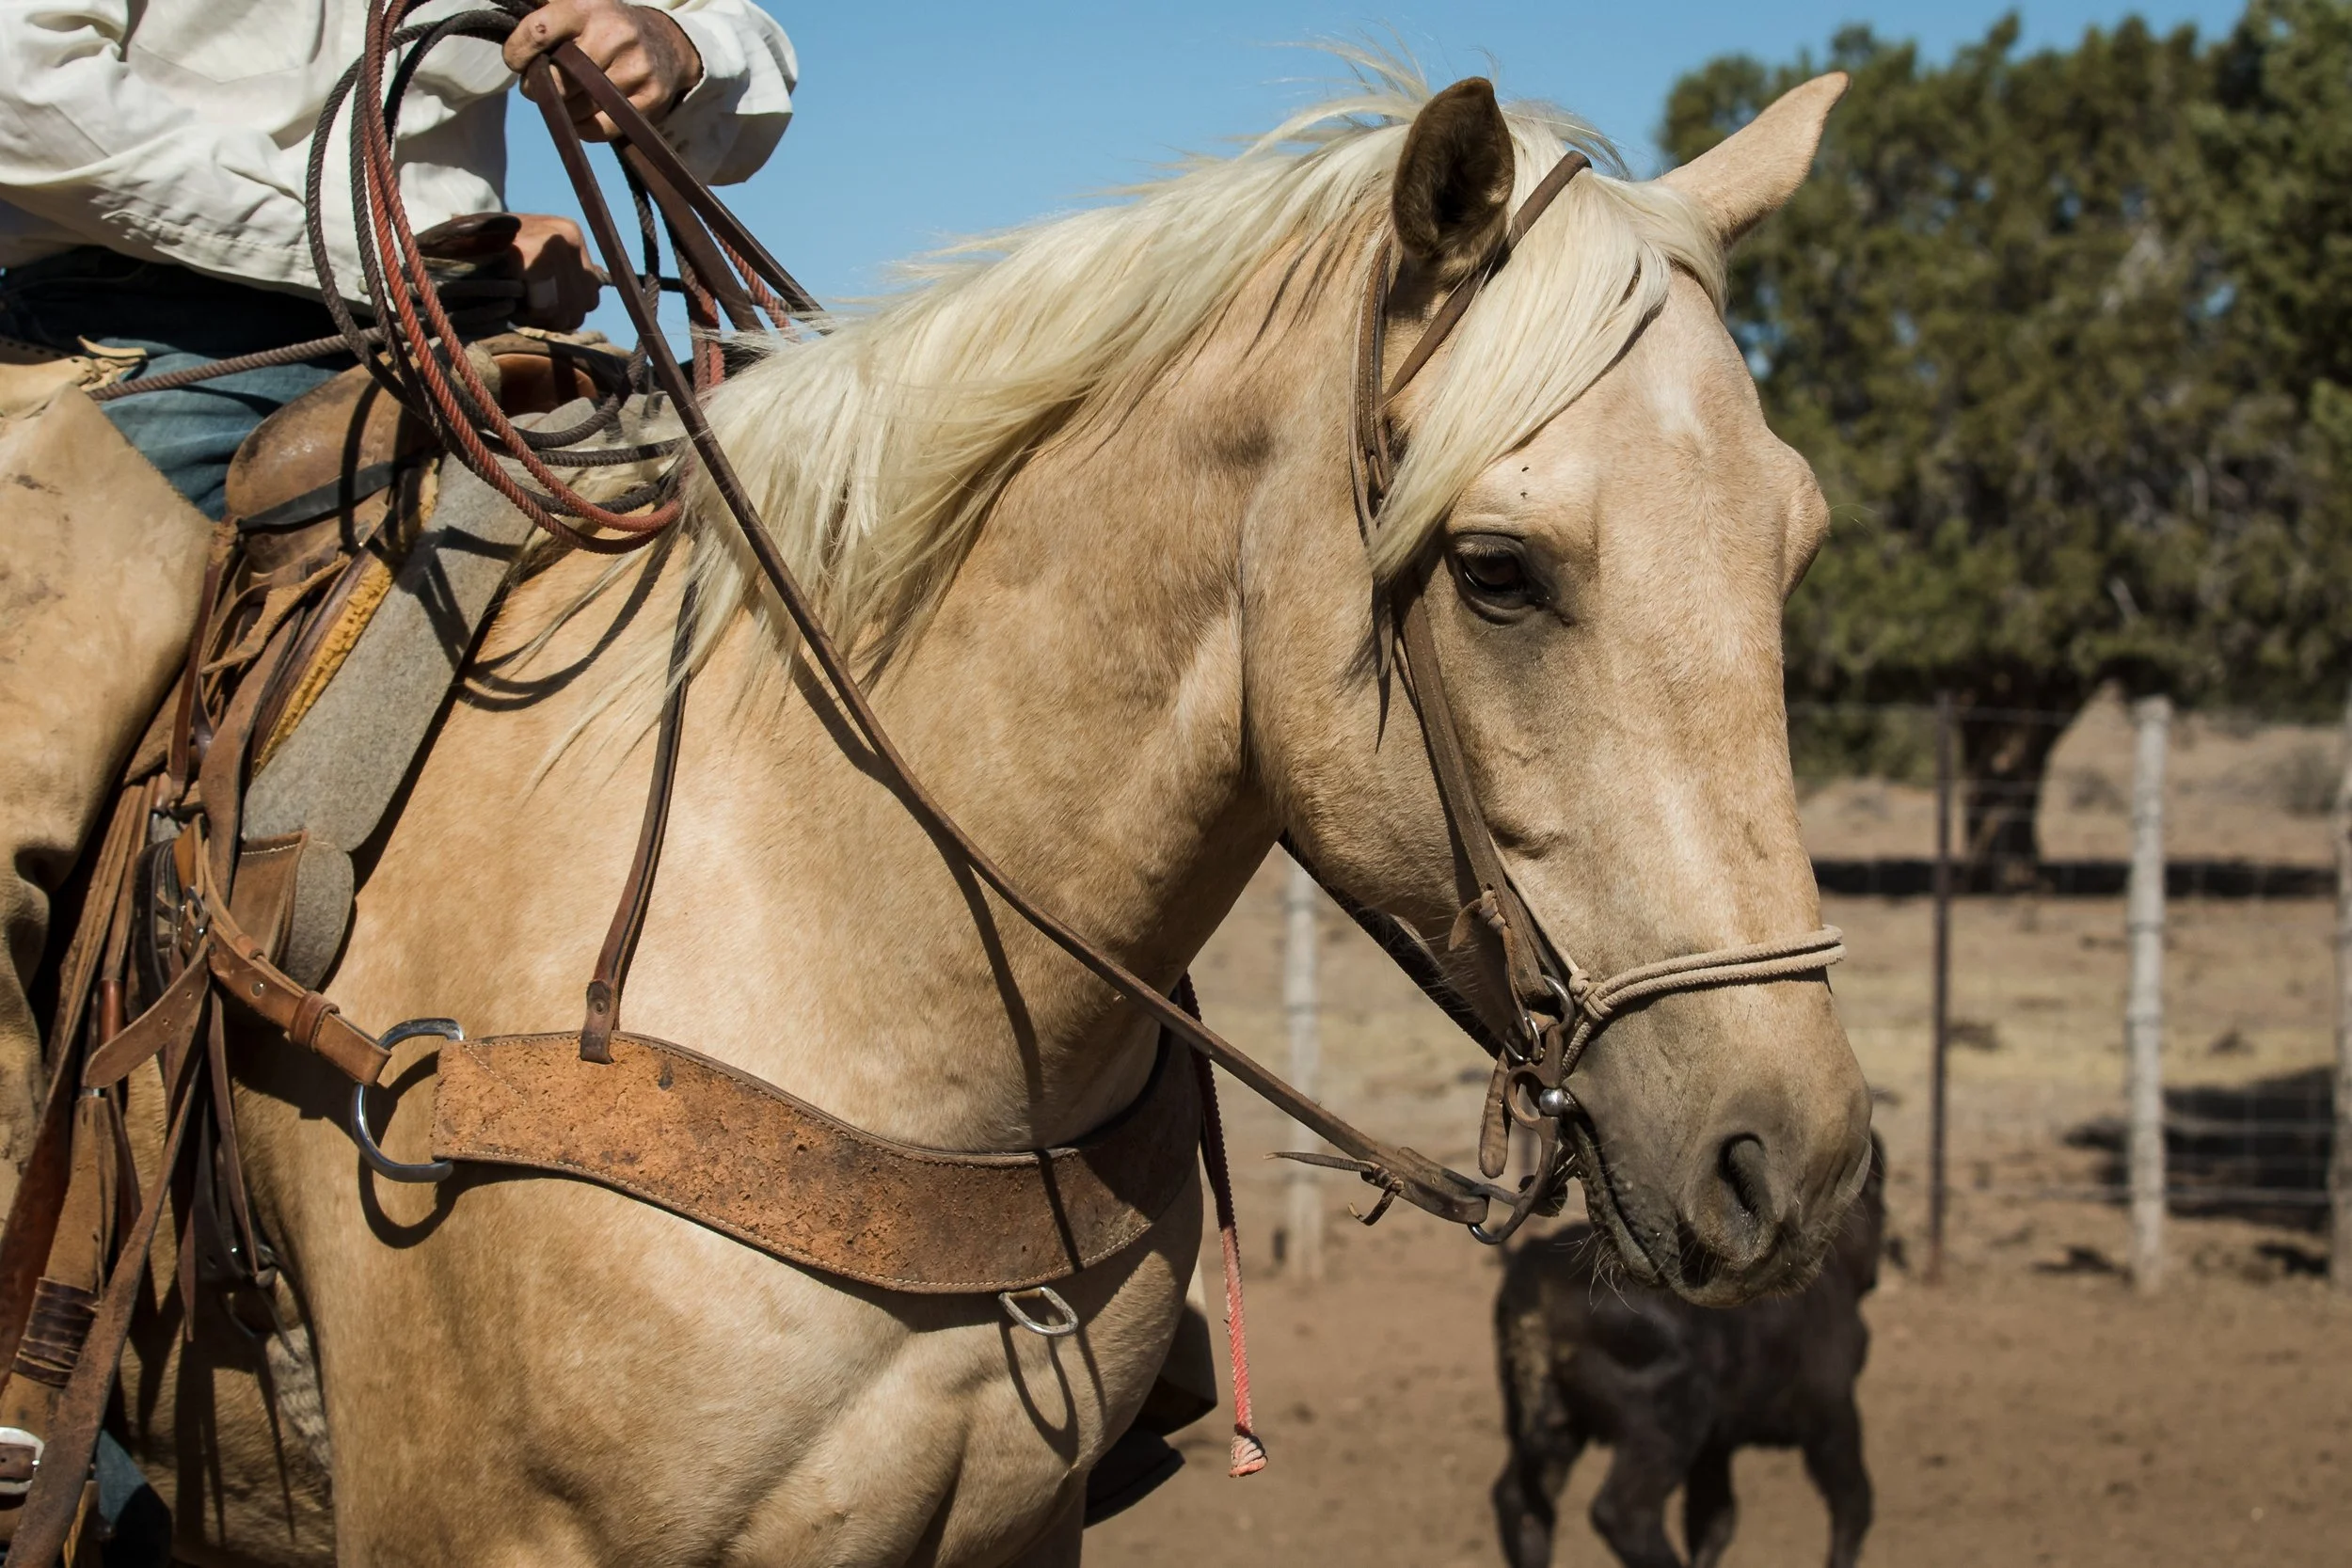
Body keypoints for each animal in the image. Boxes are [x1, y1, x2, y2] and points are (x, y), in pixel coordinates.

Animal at [1491, 1134, 1885, 1568]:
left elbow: (1714, 1520)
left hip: (1554, 1421)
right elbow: (1853, 1499)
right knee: (1625, 1511)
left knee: (1523, 1499)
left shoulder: (1716, 1446)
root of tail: (1536, 1273)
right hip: (1669, 1420)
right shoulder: (1831, 1408)